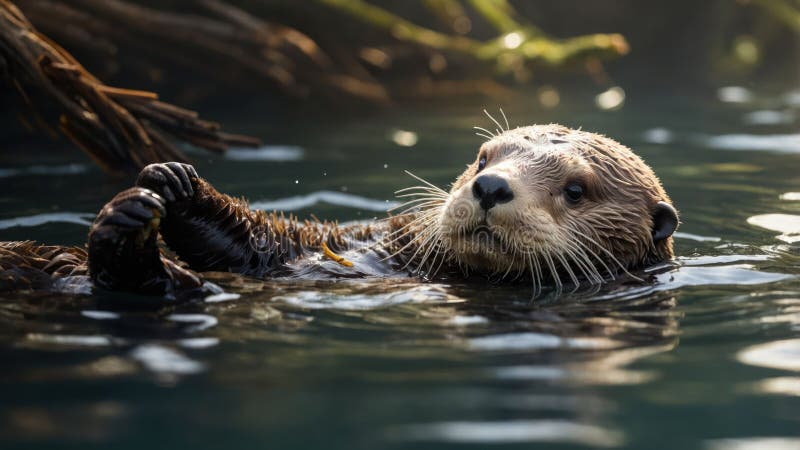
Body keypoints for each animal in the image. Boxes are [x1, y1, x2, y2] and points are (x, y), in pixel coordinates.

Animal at [0, 124, 678, 299]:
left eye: (576, 191)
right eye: (483, 157)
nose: (489, 187)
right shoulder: (356, 240)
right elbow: (266, 241)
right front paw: (176, 181)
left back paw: (132, 235)